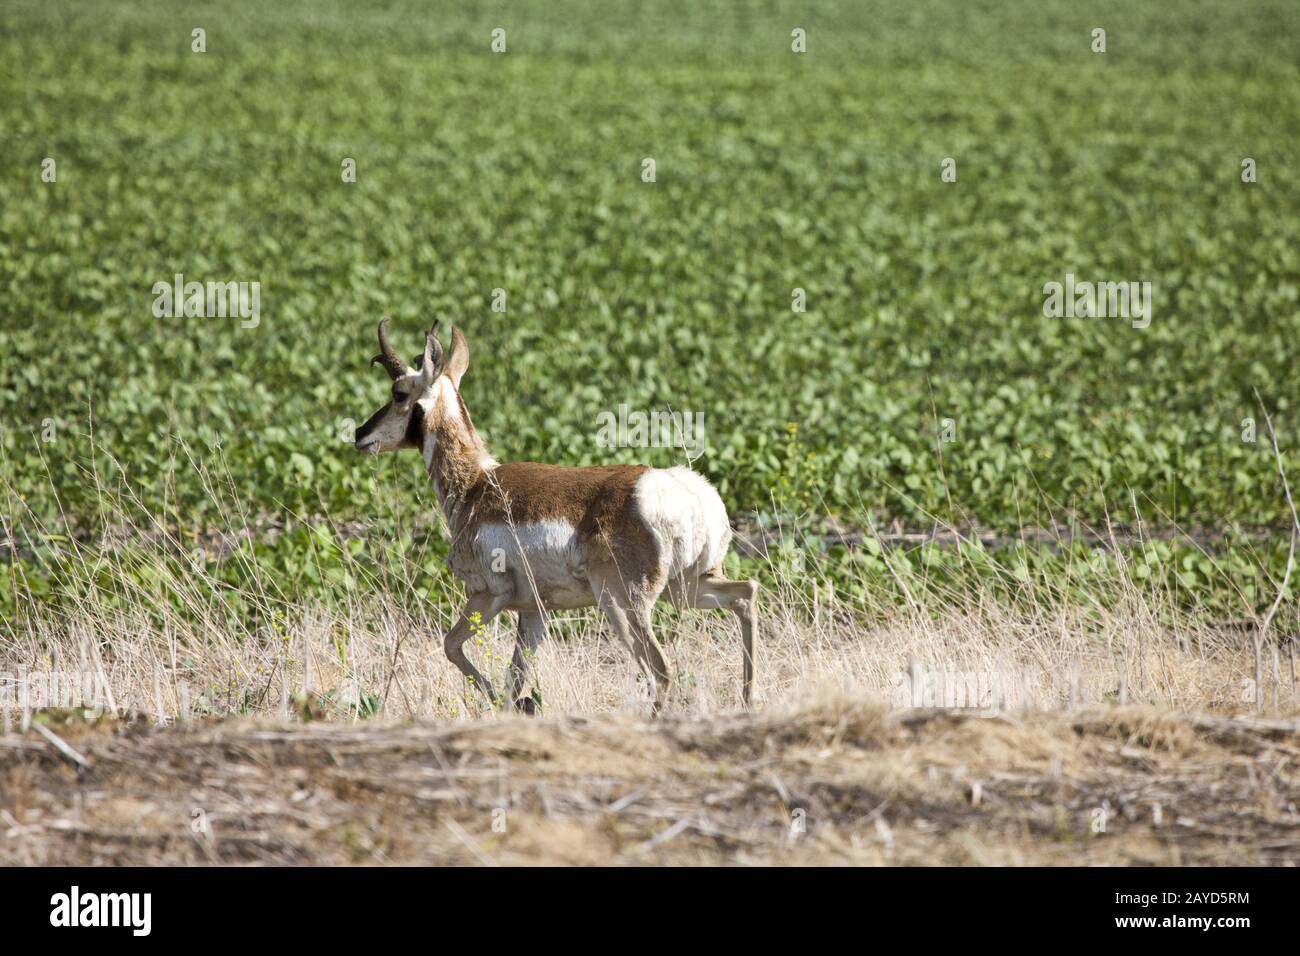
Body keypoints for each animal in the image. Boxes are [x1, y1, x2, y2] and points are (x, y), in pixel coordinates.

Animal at [354, 319, 757, 715]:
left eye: (398, 393)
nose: (359, 433)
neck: (478, 482)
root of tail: (690, 496)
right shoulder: (534, 611)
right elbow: (515, 677)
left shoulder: (488, 595)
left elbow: (451, 646)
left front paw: (497, 701)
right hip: (686, 587)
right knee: (745, 594)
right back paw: (748, 700)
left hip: (622, 604)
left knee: (660, 670)